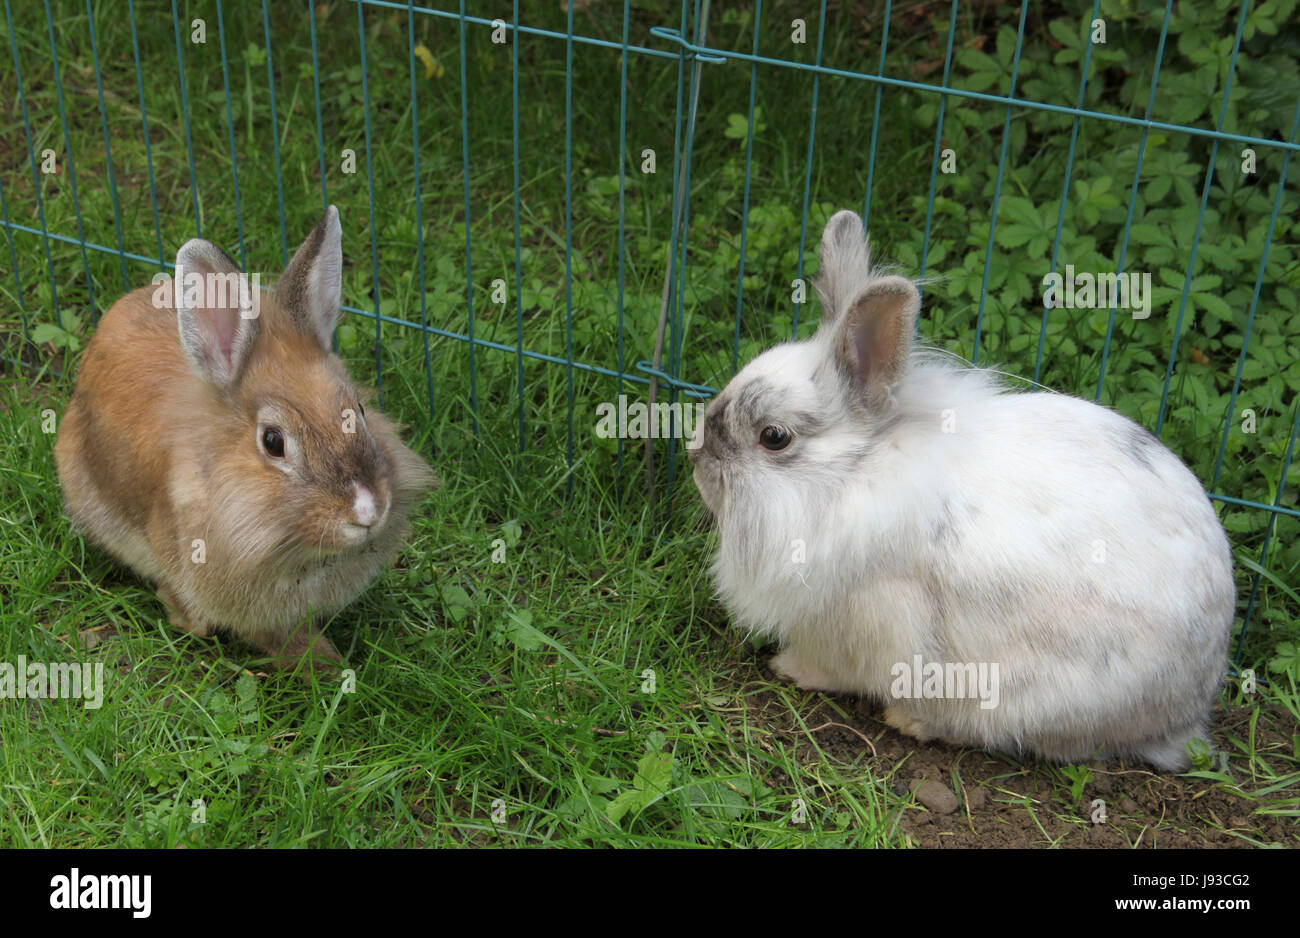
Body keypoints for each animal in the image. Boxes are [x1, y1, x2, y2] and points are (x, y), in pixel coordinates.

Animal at [690, 209, 1235, 771]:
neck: (856, 474)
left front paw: (791, 667)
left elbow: (835, 668)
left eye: (774, 437)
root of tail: (1185, 712)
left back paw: (912, 721)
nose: (695, 460)